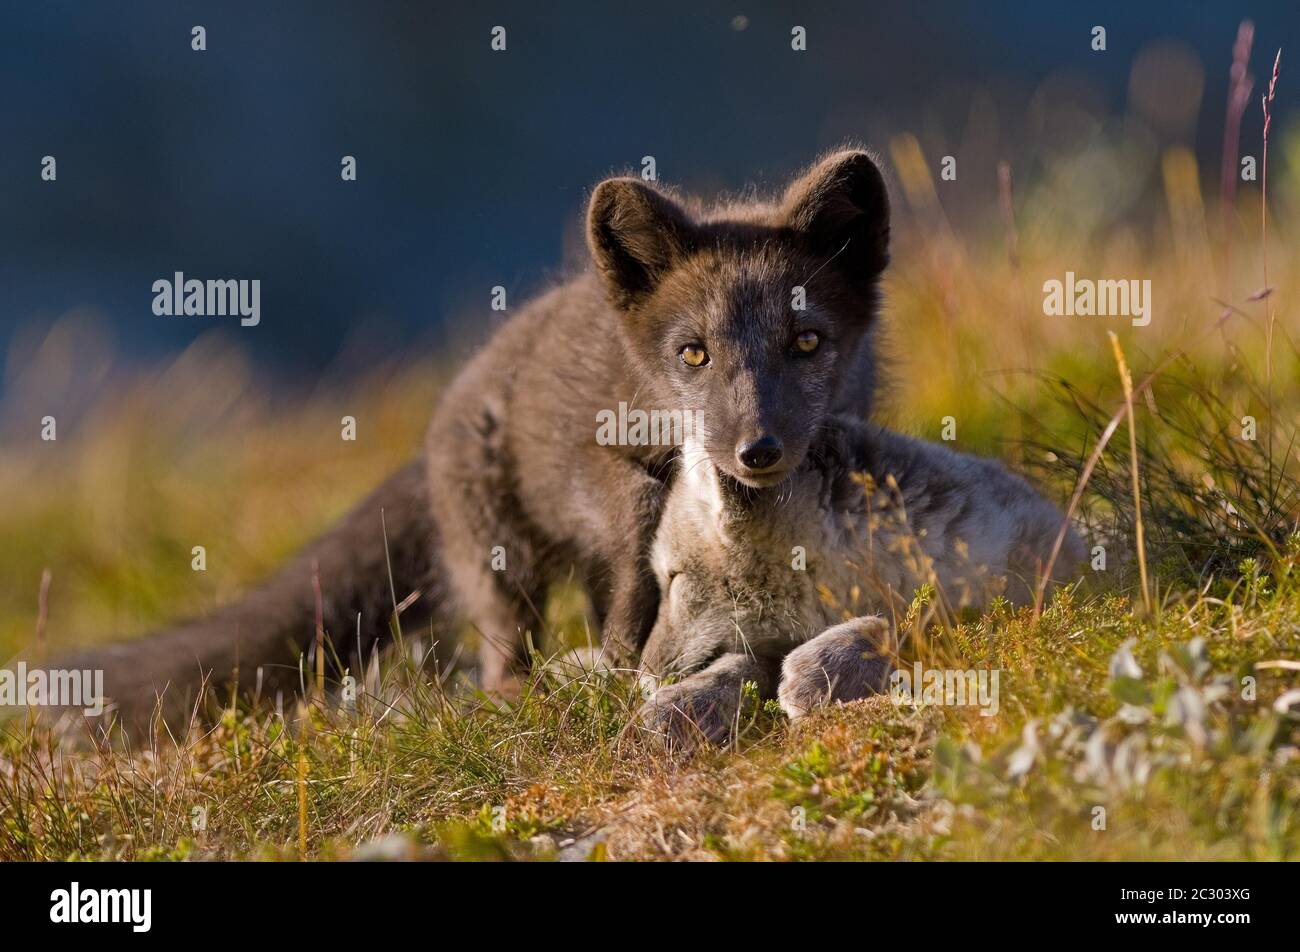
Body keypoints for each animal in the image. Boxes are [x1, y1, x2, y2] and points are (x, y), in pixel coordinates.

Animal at [49, 148, 895, 726]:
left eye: (808, 342)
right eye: (694, 354)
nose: (757, 451)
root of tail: (439, 422)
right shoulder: (616, 479)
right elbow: (637, 559)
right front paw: (634, 657)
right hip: (497, 550)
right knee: (505, 639)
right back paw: (532, 684)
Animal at [636, 416, 1087, 747]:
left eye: (675, 580)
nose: (640, 678)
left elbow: (913, 627)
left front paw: (823, 666)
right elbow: (742, 662)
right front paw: (687, 702)